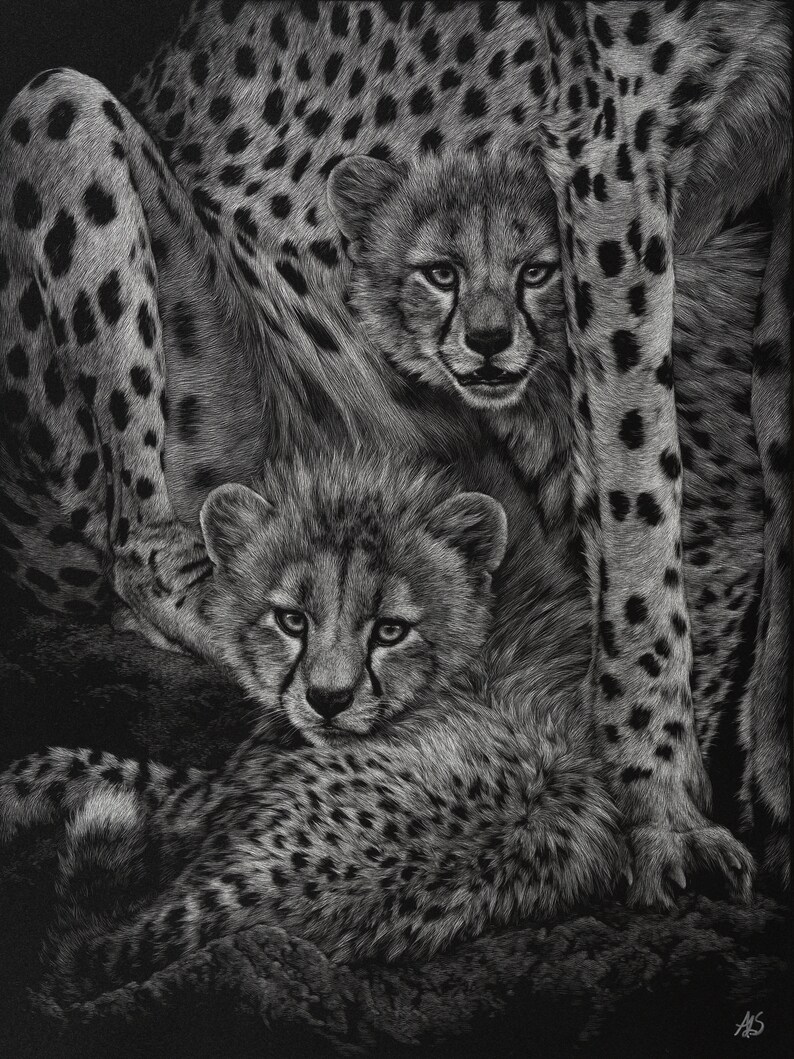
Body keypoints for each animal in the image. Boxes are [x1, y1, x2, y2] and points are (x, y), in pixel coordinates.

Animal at [0, 0, 789, 910]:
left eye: (534, 273)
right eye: (438, 273)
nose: (488, 339)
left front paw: (776, 784)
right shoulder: (611, 157)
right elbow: (638, 501)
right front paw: (663, 811)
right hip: (56, 106)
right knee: (143, 555)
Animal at [0, 446, 626, 1005]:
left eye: (390, 630)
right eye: (291, 620)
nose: (328, 699)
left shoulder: (208, 791)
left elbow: (86, 763)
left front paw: (12, 793)